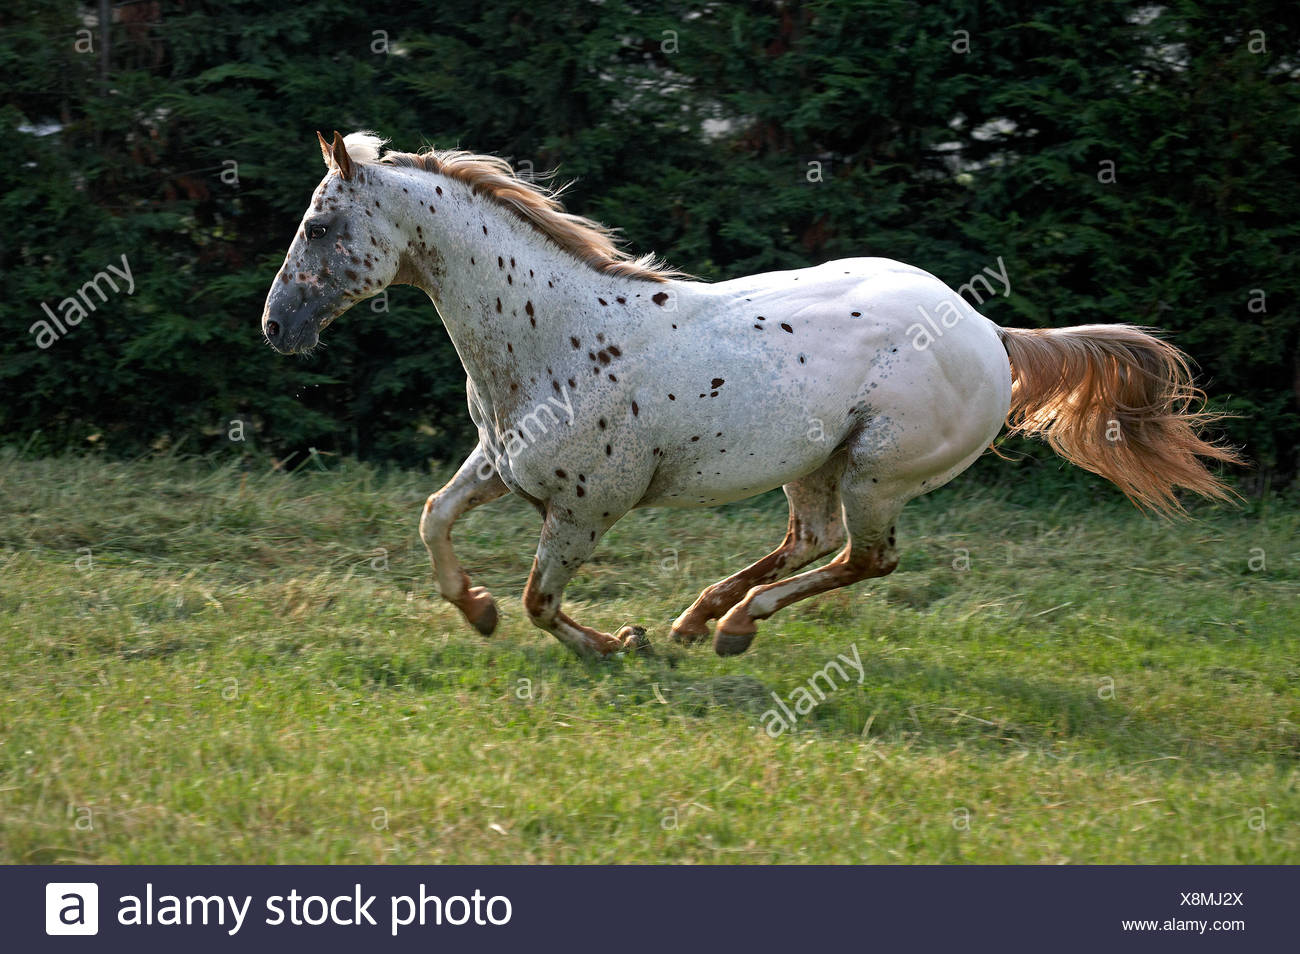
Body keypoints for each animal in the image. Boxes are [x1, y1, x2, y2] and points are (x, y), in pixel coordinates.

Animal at [262, 130, 1239, 659]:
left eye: (319, 224)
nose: (277, 327)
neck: (556, 335)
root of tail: (988, 332)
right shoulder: (500, 467)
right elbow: (434, 516)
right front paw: (478, 609)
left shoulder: (585, 508)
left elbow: (543, 601)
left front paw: (613, 646)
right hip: (818, 465)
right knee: (812, 540)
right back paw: (702, 619)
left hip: (878, 472)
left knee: (866, 558)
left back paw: (729, 626)